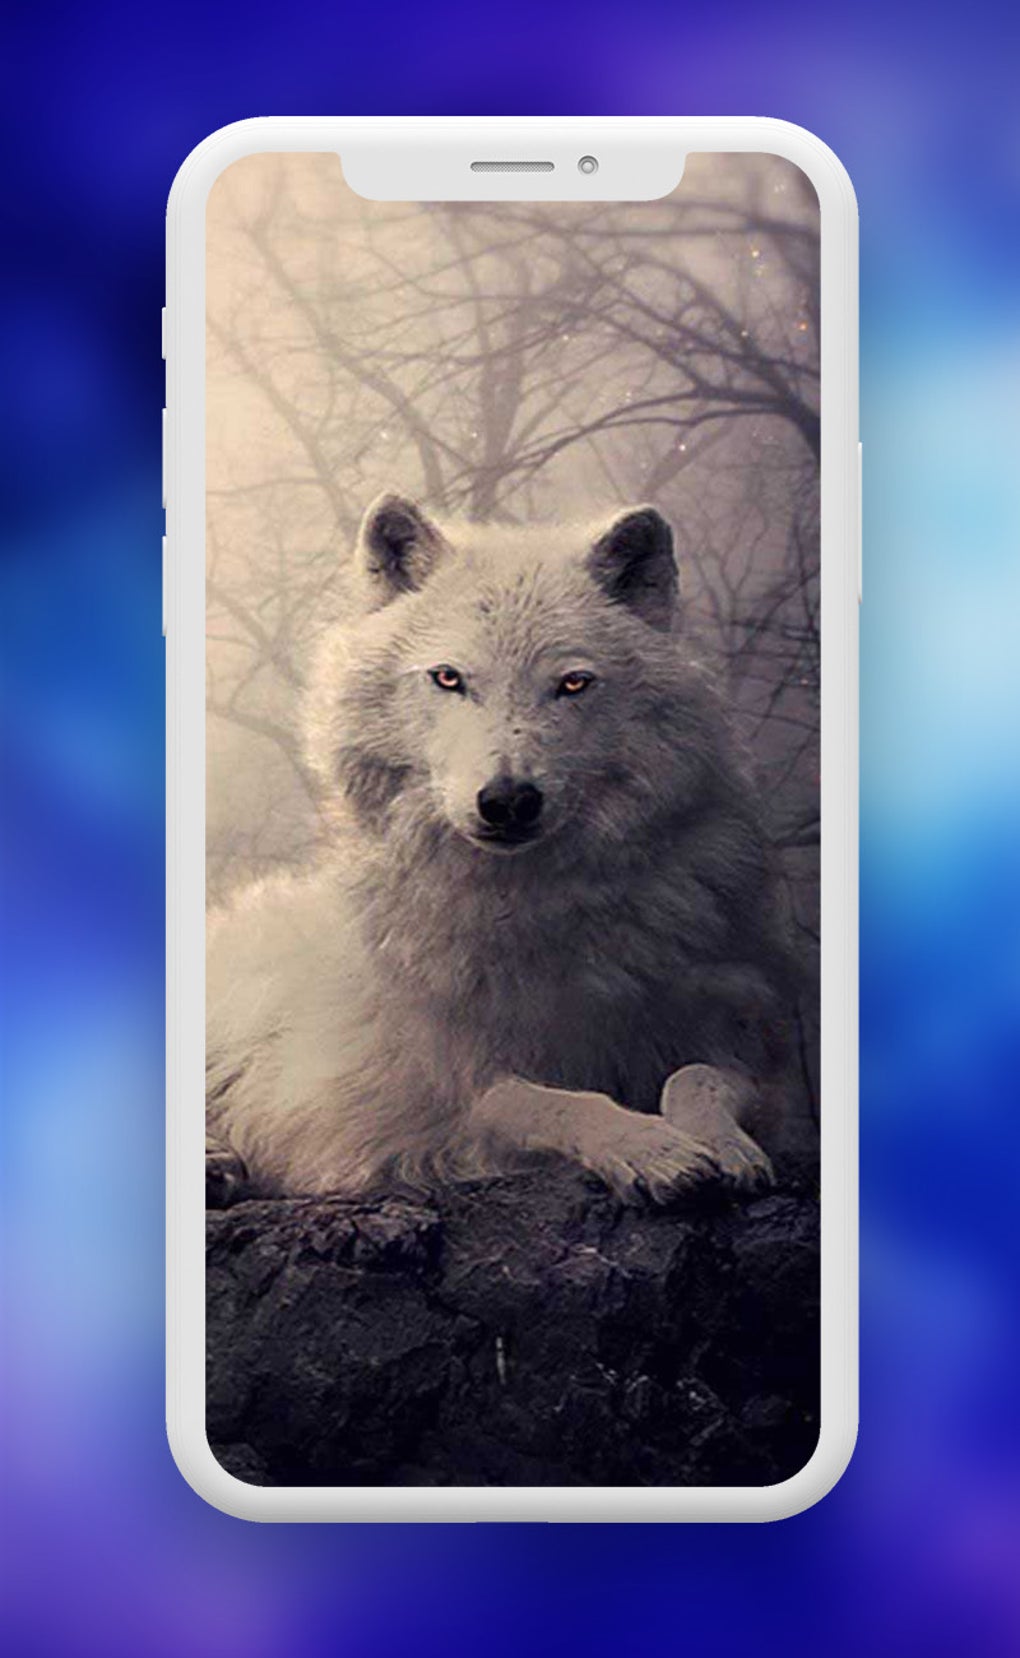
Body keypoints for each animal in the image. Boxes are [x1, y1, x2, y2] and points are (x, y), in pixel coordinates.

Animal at [206, 494, 800, 1207]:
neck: (534, 902)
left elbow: (697, 1078)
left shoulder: (749, 1046)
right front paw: (651, 1149)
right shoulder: (432, 1098)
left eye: (572, 684)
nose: (509, 800)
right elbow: (539, 1101)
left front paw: (721, 1145)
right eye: (449, 678)